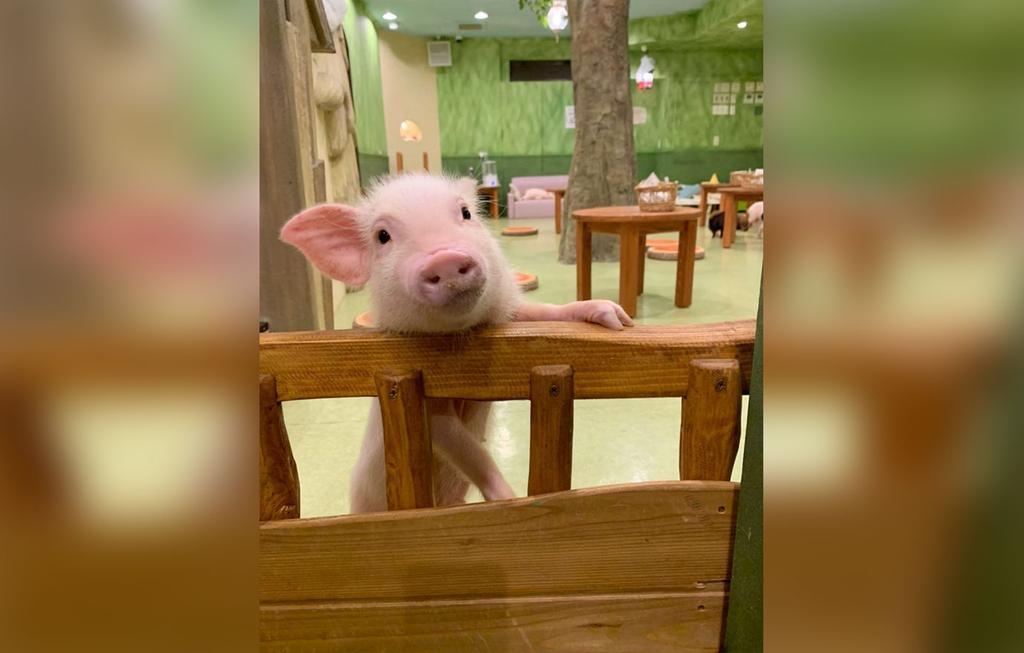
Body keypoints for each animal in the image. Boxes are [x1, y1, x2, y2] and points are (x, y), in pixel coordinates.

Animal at [280, 173, 633, 513]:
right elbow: (469, 450)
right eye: (382, 236)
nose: (445, 259)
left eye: (465, 213)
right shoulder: (429, 404)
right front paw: (511, 501)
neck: (462, 332)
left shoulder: (507, 316)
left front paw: (617, 319)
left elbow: (541, 312)